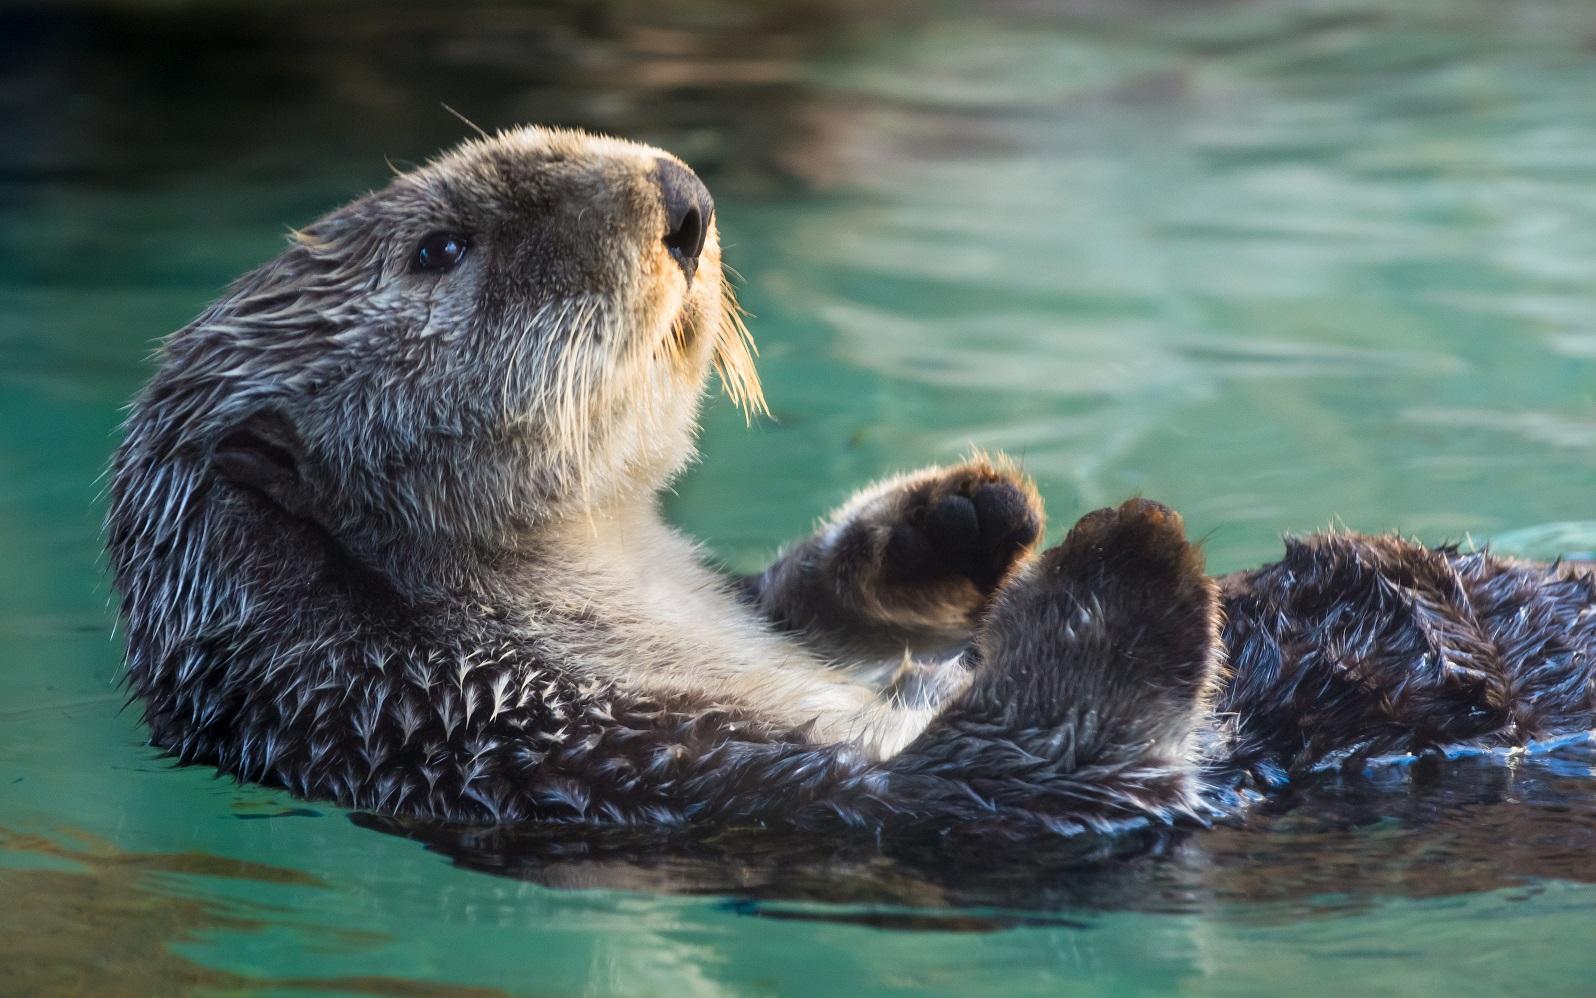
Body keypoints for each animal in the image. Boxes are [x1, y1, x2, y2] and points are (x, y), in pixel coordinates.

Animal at [107, 127, 1596, 839]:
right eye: (440, 250)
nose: (681, 192)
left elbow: (808, 594)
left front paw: (964, 515)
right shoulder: (602, 762)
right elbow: (1054, 770)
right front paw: (1125, 543)